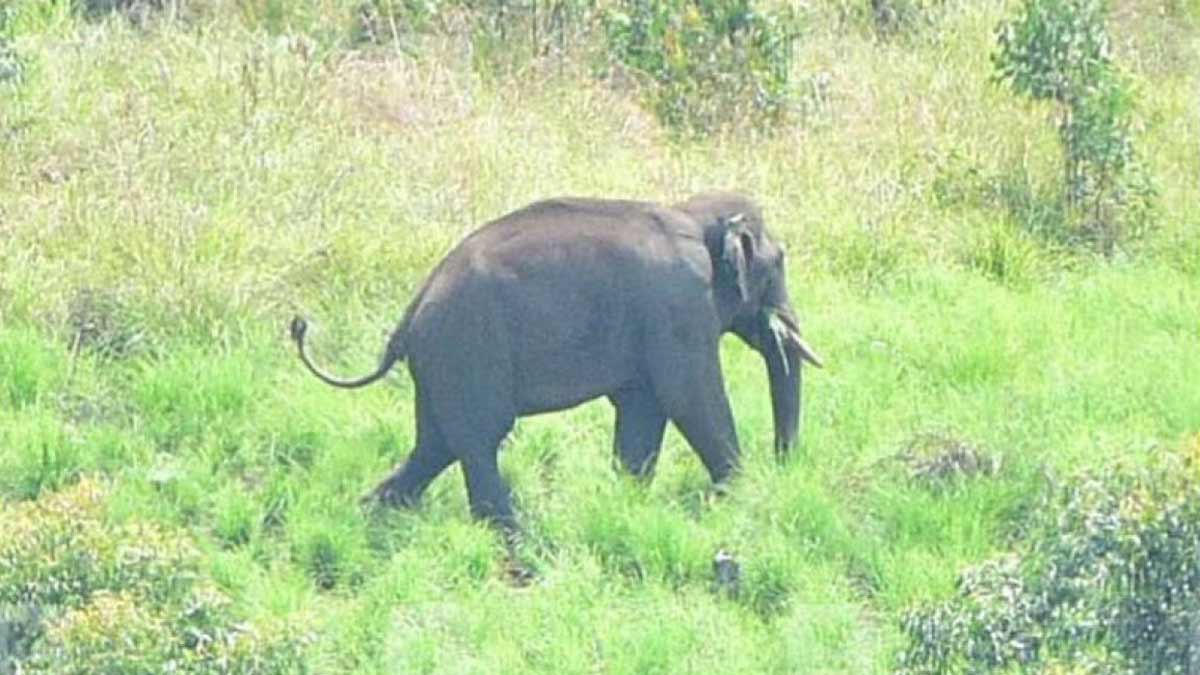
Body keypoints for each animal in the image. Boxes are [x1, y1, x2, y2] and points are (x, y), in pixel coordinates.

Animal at [290, 191, 822, 532]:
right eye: (779, 263)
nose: (784, 463)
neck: (692, 212)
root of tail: (409, 314)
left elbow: (642, 408)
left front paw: (626, 504)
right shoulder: (679, 309)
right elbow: (690, 396)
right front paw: (739, 496)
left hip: (443, 364)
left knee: (435, 444)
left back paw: (373, 514)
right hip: (468, 351)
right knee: (478, 442)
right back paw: (515, 543)